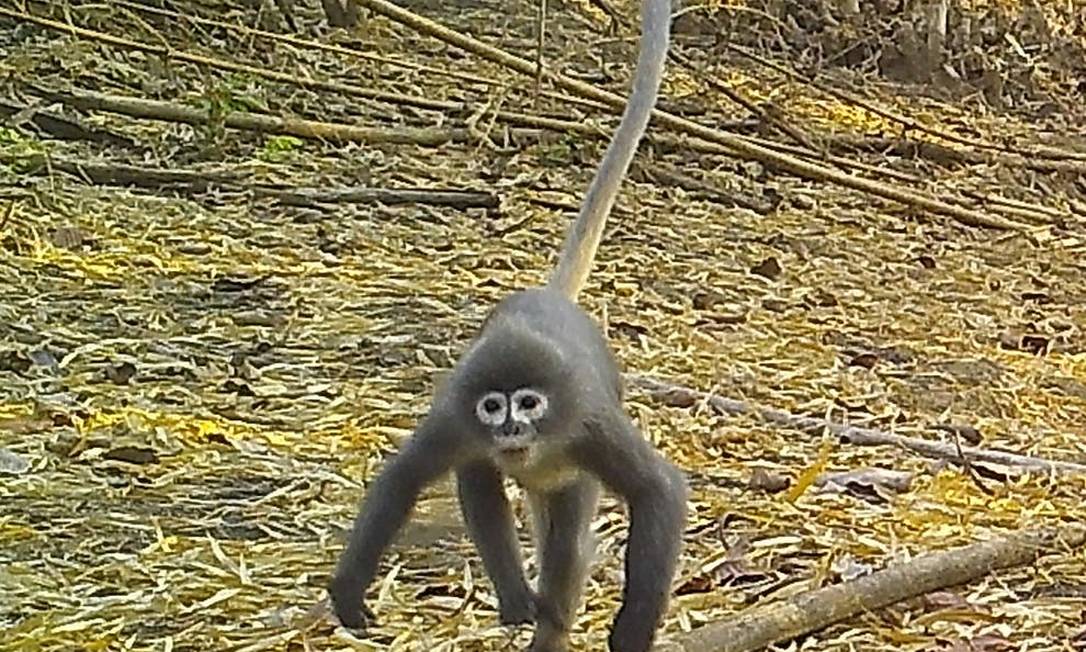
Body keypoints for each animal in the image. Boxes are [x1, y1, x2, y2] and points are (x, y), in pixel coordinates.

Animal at [327, 0, 685, 650]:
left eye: (530, 403)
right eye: (495, 406)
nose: (512, 427)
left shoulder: (587, 422)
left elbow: (659, 492)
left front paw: (629, 632)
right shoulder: (457, 417)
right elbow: (403, 478)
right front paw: (348, 591)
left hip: (571, 476)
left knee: (565, 546)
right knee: (479, 485)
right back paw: (519, 598)